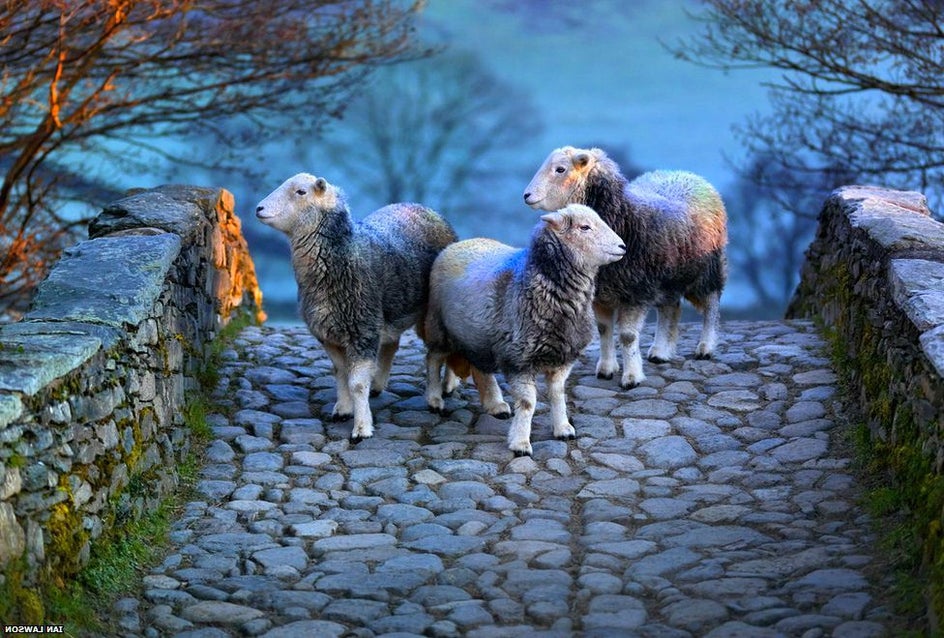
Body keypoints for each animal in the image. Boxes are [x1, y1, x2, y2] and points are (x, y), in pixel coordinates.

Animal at [255, 173, 457, 441]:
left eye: (301, 192)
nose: (259, 208)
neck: (346, 253)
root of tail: (423, 207)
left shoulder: (362, 330)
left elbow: (357, 383)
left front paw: (361, 427)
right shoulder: (329, 334)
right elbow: (341, 373)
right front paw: (343, 409)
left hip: (431, 312)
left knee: (437, 353)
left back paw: (440, 393)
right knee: (393, 344)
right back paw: (380, 384)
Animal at [423, 203, 626, 456]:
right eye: (584, 227)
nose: (623, 246)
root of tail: (459, 243)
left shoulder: (562, 357)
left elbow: (557, 394)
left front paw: (563, 428)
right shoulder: (519, 359)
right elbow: (529, 403)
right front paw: (520, 442)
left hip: (480, 336)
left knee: (480, 368)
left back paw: (495, 404)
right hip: (439, 326)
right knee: (433, 358)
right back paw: (434, 399)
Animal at [523, 146, 728, 389]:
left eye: (560, 169)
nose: (526, 195)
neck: (625, 218)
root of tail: (685, 173)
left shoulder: (635, 291)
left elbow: (628, 336)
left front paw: (631, 377)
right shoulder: (601, 293)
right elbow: (604, 330)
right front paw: (606, 369)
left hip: (707, 269)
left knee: (711, 304)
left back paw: (706, 346)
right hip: (667, 277)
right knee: (670, 308)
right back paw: (661, 351)